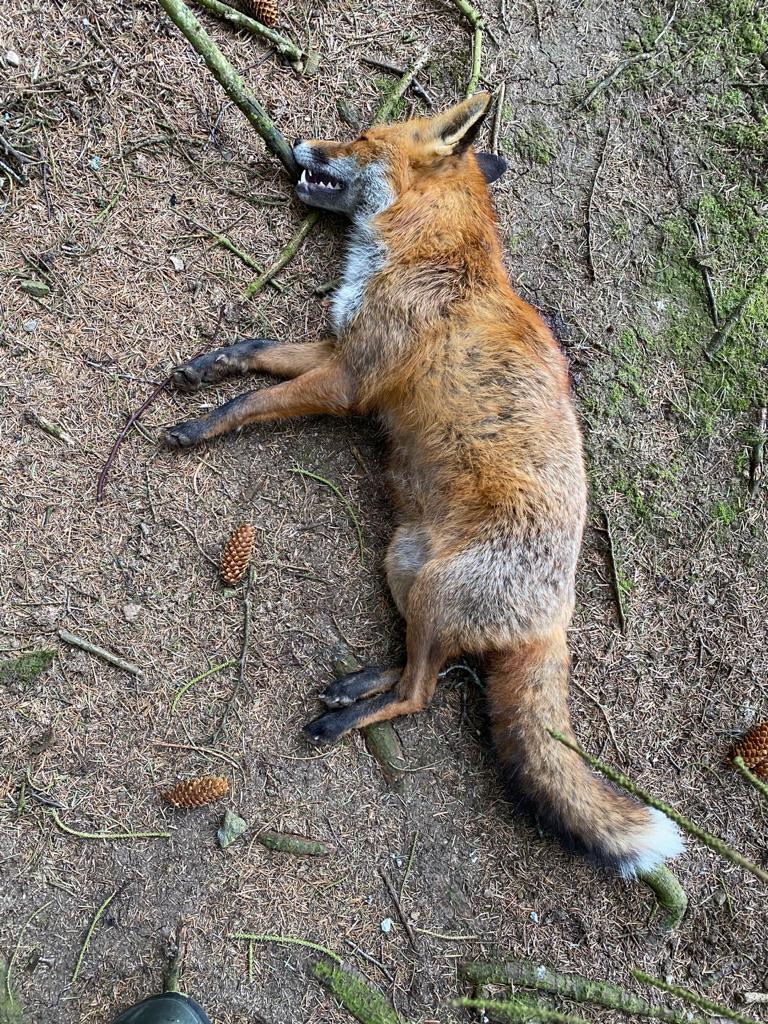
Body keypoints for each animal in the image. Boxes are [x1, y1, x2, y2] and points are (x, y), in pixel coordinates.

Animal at [164, 92, 683, 879]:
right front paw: (203, 366)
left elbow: (250, 402)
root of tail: (555, 619)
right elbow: (255, 350)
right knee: (428, 668)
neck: (426, 257)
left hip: (435, 590)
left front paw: (198, 427)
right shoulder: (339, 348)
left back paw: (344, 718)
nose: (298, 142)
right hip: (404, 568)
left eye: (361, 137)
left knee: (421, 696)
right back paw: (355, 683)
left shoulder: (347, 381)